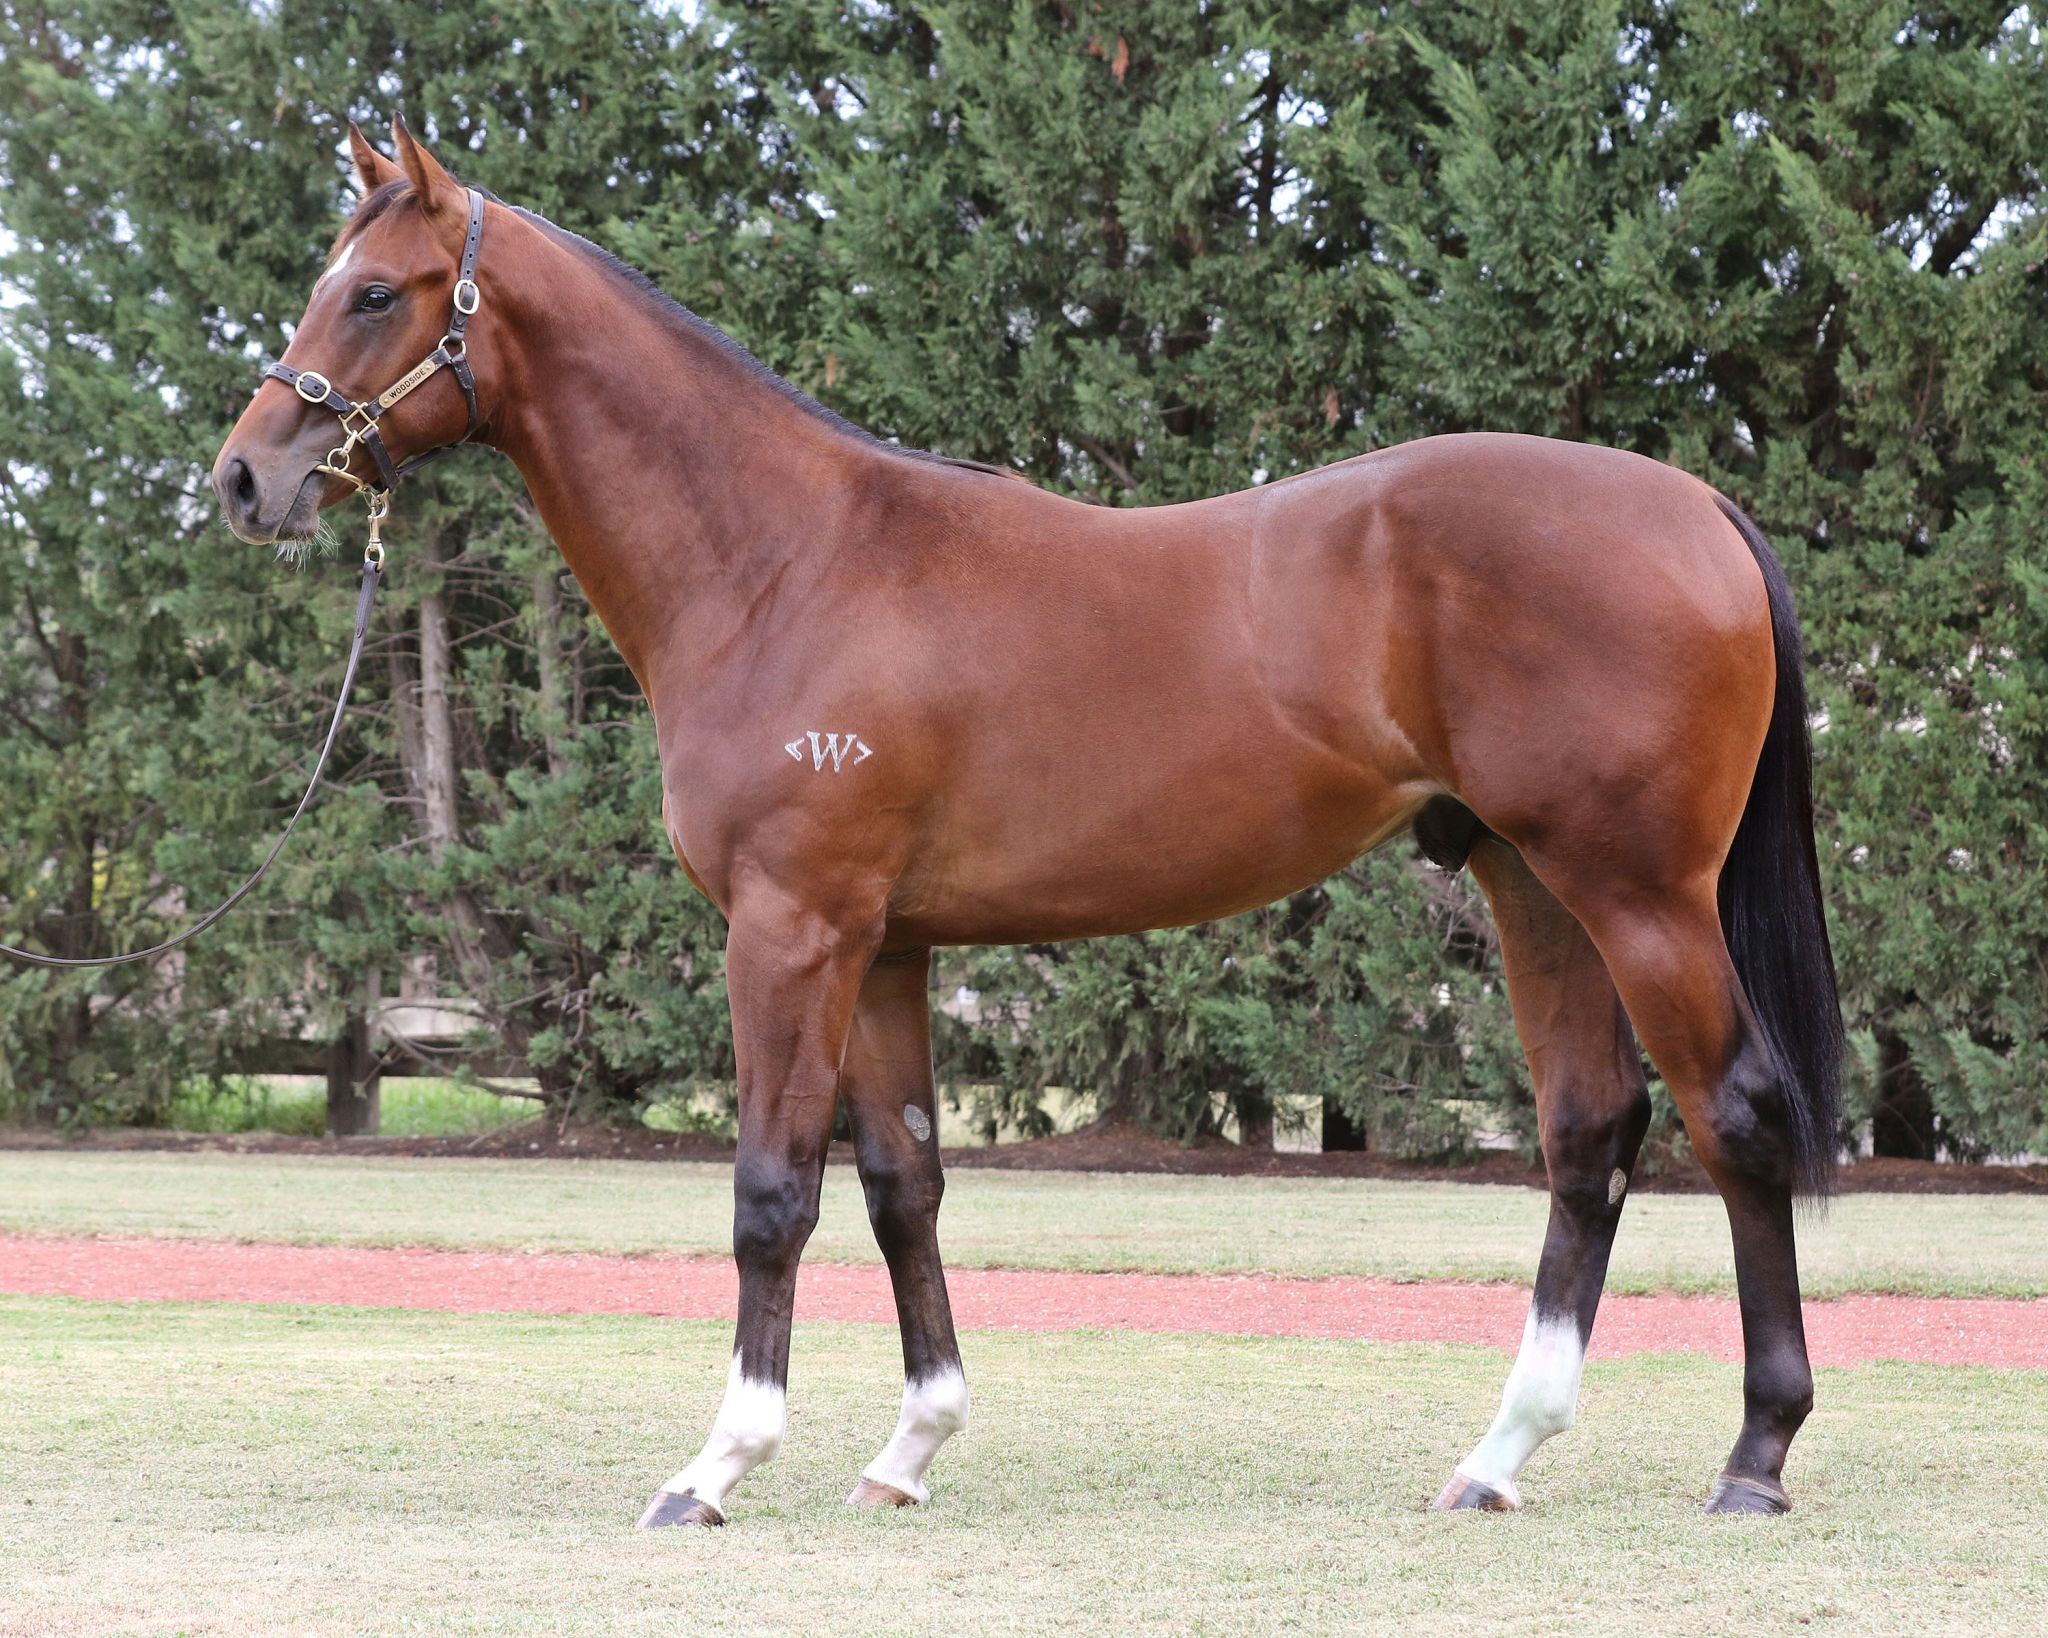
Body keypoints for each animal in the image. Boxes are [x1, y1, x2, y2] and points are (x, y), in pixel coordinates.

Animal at [214, 118, 1842, 1526]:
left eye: (373, 291)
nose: (246, 476)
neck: (784, 561)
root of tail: (1696, 505)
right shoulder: (882, 946)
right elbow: (903, 1185)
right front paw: (909, 1447)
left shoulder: (789, 930)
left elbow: (769, 1194)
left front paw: (718, 1465)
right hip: (1531, 884)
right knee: (1589, 1133)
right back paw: (1497, 1457)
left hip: (1638, 893)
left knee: (1737, 1116)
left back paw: (1754, 1455)